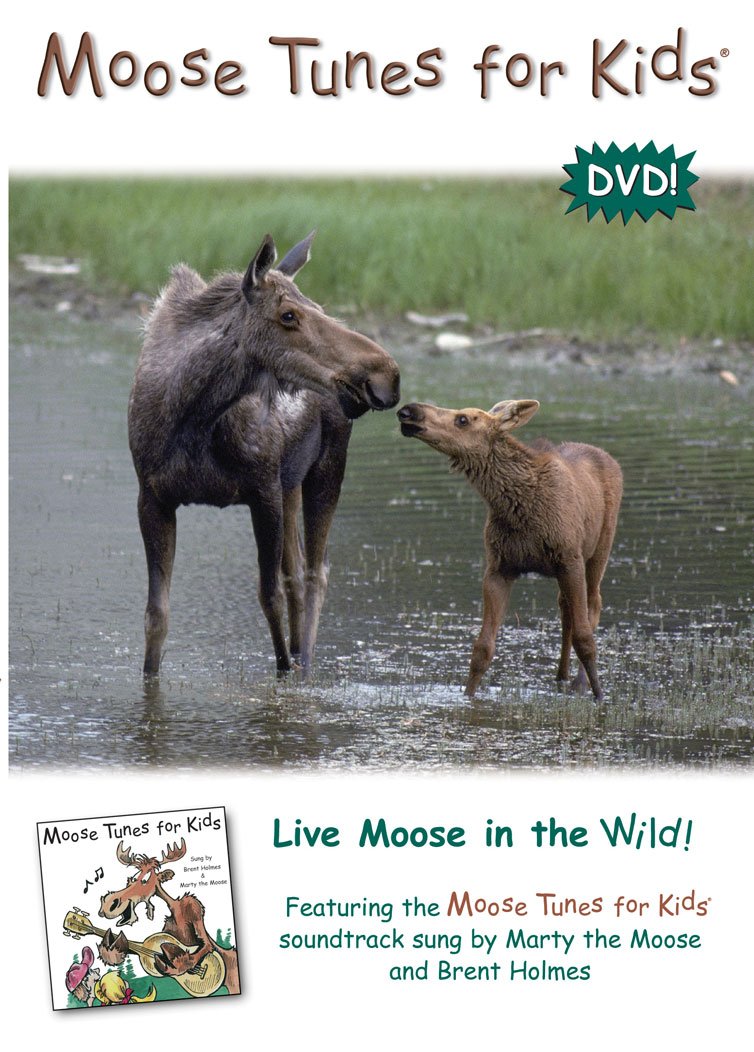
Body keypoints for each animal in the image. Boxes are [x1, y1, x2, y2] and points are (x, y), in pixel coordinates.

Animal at [128, 231, 400, 678]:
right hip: (292, 482)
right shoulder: (152, 498)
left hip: (327, 468)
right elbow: (156, 616)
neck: (193, 416)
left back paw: (305, 665)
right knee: (297, 571)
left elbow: (269, 598)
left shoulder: (262, 490)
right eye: (288, 315)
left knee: (314, 573)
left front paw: (286, 672)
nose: (386, 374)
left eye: (320, 308)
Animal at [398, 398, 622, 700]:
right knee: (565, 609)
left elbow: (585, 639)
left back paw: (579, 682)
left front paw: (600, 697)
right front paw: (467, 696)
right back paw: (561, 676)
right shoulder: (499, 567)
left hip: (600, 548)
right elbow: (482, 648)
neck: (517, 504)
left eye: (463, 420)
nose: (408, 411)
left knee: (593, 604)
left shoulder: (569, 558)